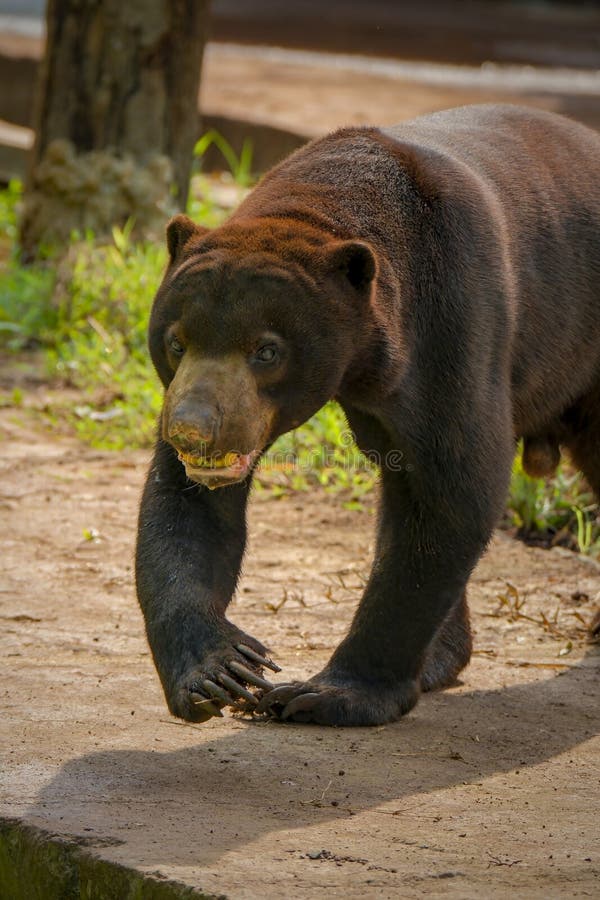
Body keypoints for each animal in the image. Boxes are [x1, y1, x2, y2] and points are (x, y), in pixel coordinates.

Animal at [136, 104, 600, 727]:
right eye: (176, 341)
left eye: (267, 350)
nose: (193, 430)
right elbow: (186, 512)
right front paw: (223, 671)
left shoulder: (450, 326)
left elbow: (453, 488)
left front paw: (322, 693)